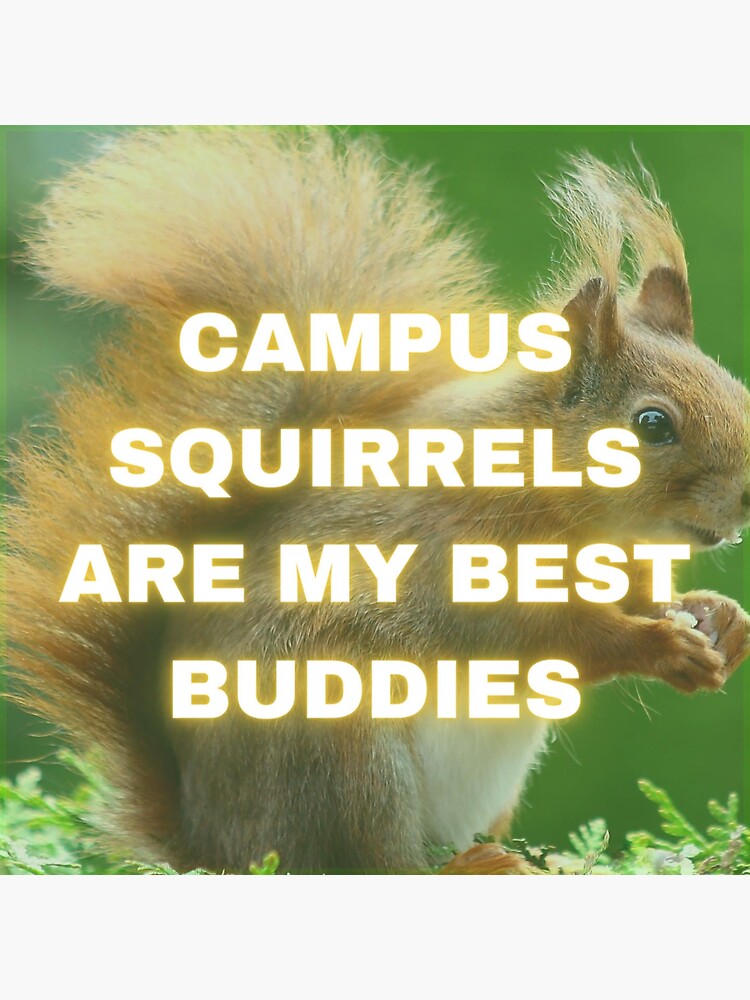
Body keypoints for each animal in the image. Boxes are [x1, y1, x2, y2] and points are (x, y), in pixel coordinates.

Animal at [6, 127, 750, 874]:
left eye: (734, 386)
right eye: (653, 424)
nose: (748, 497)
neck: (577, 511)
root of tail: (209, 841)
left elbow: (643, 597)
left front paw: (719, 617)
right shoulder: (448, 551)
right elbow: (536, 634)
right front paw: (657, 645)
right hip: (342, 753)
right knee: (364, 861)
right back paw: (470, 868)